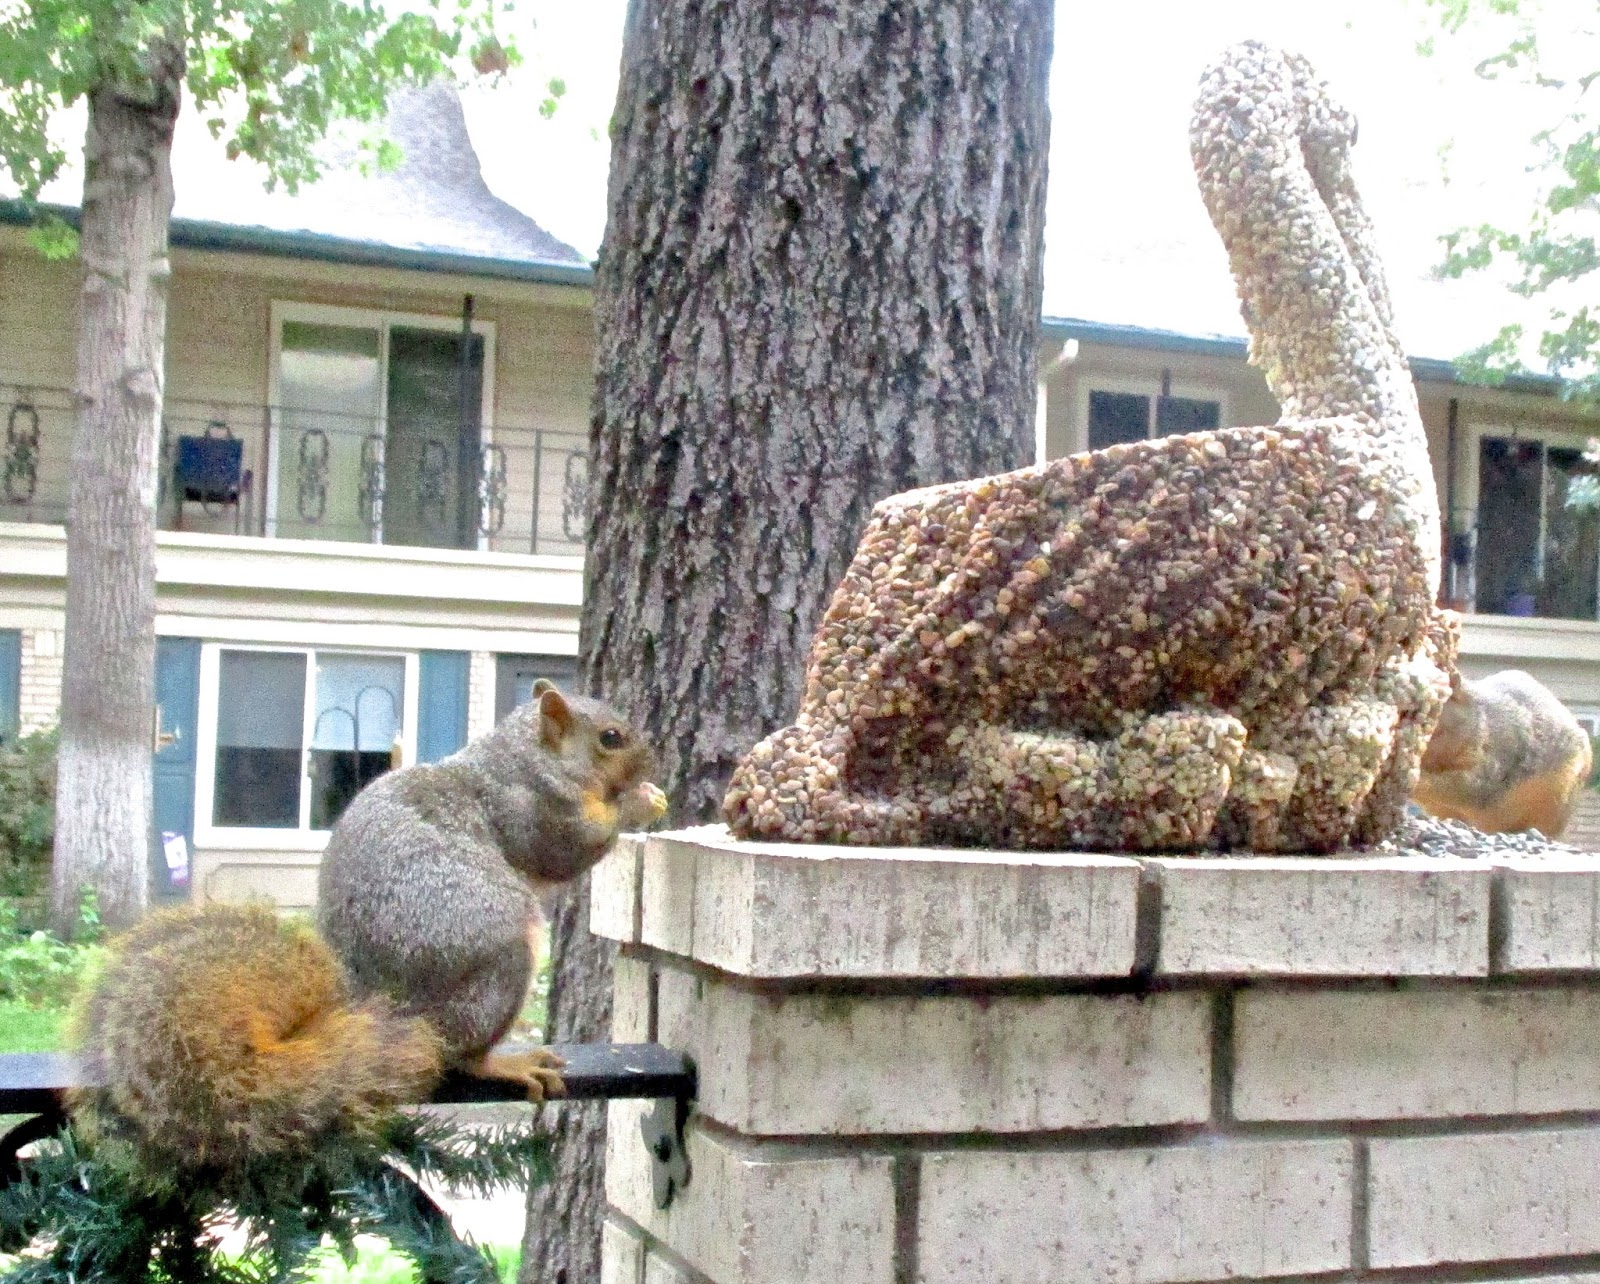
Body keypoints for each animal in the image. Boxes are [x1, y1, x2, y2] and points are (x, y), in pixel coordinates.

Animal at [68, 680, 666, 1172]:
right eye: (611, 738)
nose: (654, 758)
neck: (523, 756)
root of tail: (377, 1005)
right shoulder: (532, 808)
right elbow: (568, 848)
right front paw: (639, 803)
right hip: (502, 965)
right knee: (459, 1055)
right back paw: (506, 1063)